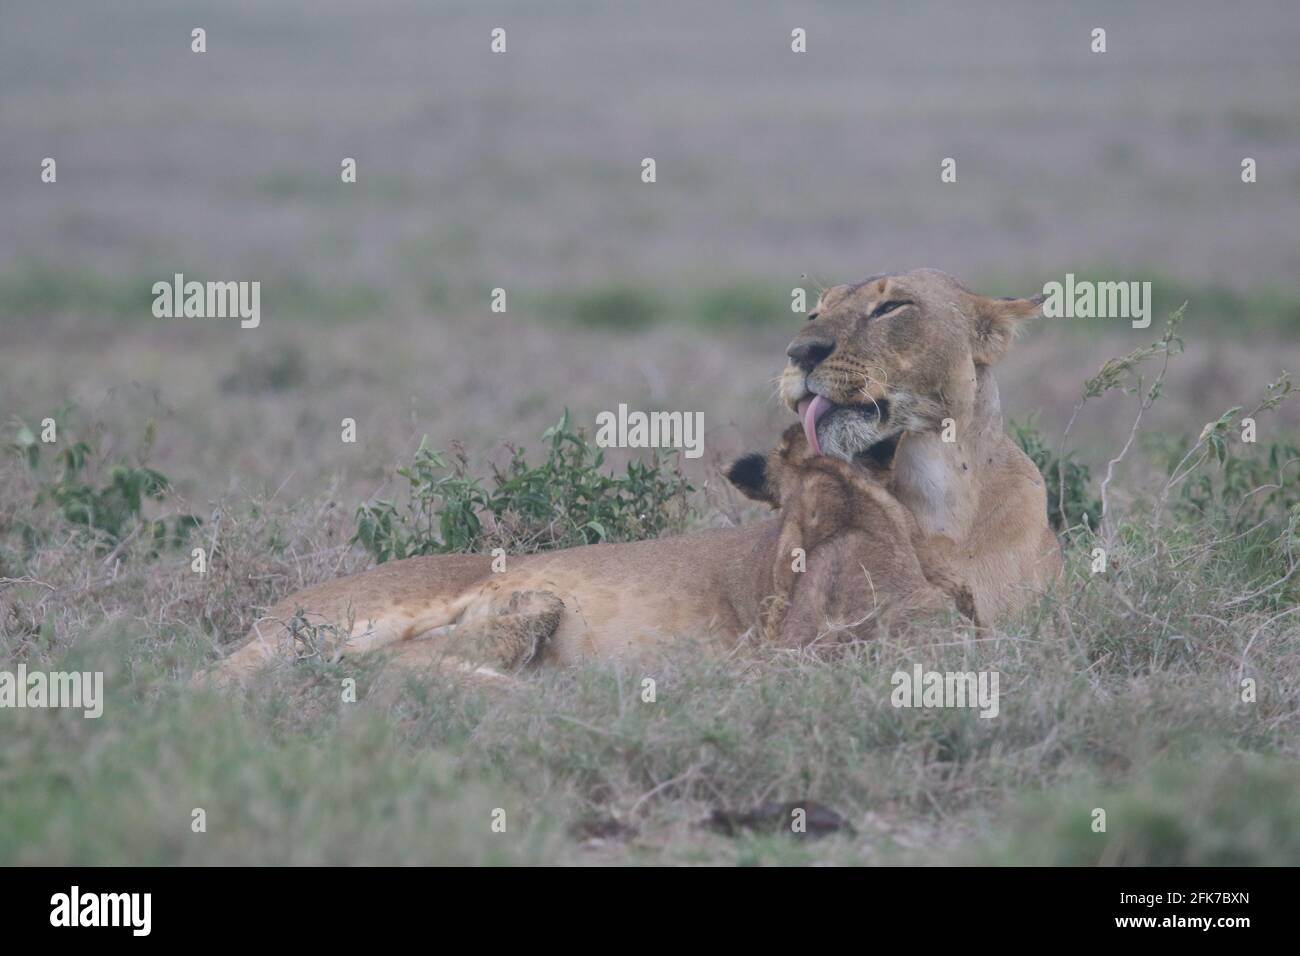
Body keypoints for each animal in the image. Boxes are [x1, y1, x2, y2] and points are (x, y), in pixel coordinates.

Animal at [207, 268, 1057, 683]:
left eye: (892, 308)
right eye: (816, 307)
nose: (802, 351)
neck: (934, 496)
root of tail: (275, 610)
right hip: (345, 620)